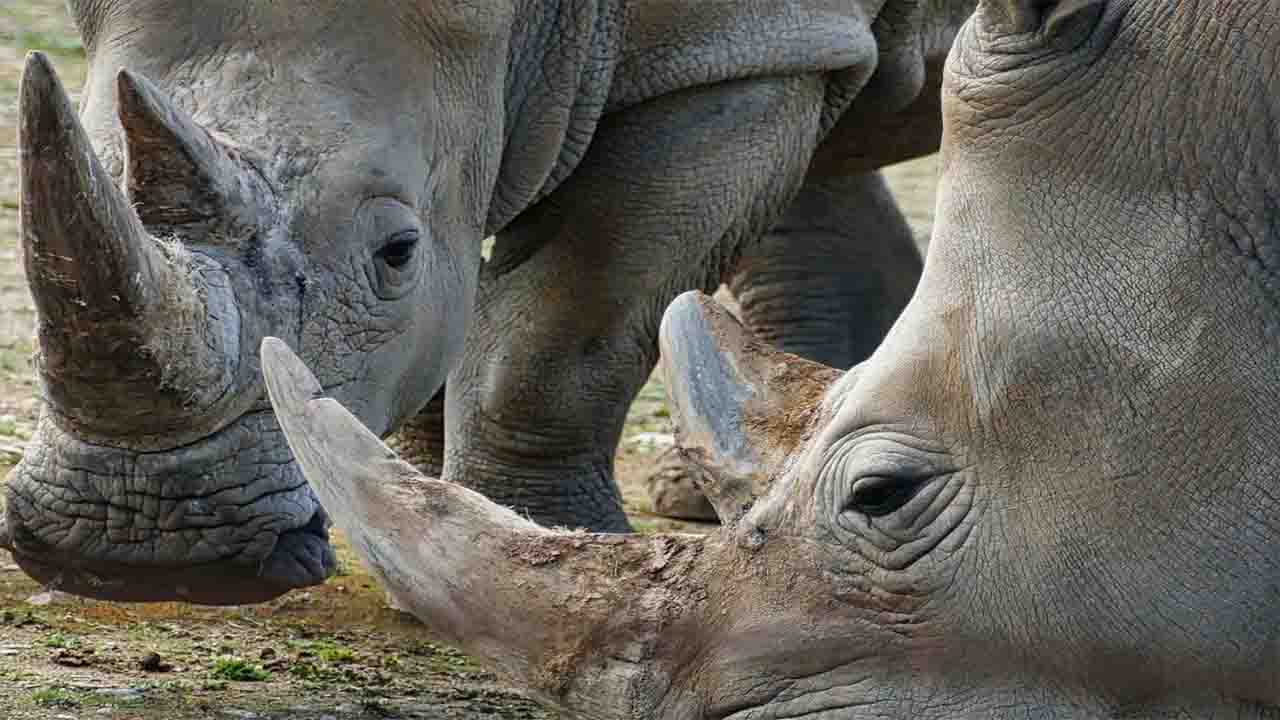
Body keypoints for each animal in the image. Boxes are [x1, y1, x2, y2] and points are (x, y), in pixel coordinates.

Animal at [1, 0, 972, 604]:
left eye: (396, 253)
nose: (141, 541)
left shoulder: (739, 52)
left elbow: (559, 325)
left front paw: (547, 549)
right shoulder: (764, 45)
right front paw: (422, 533)